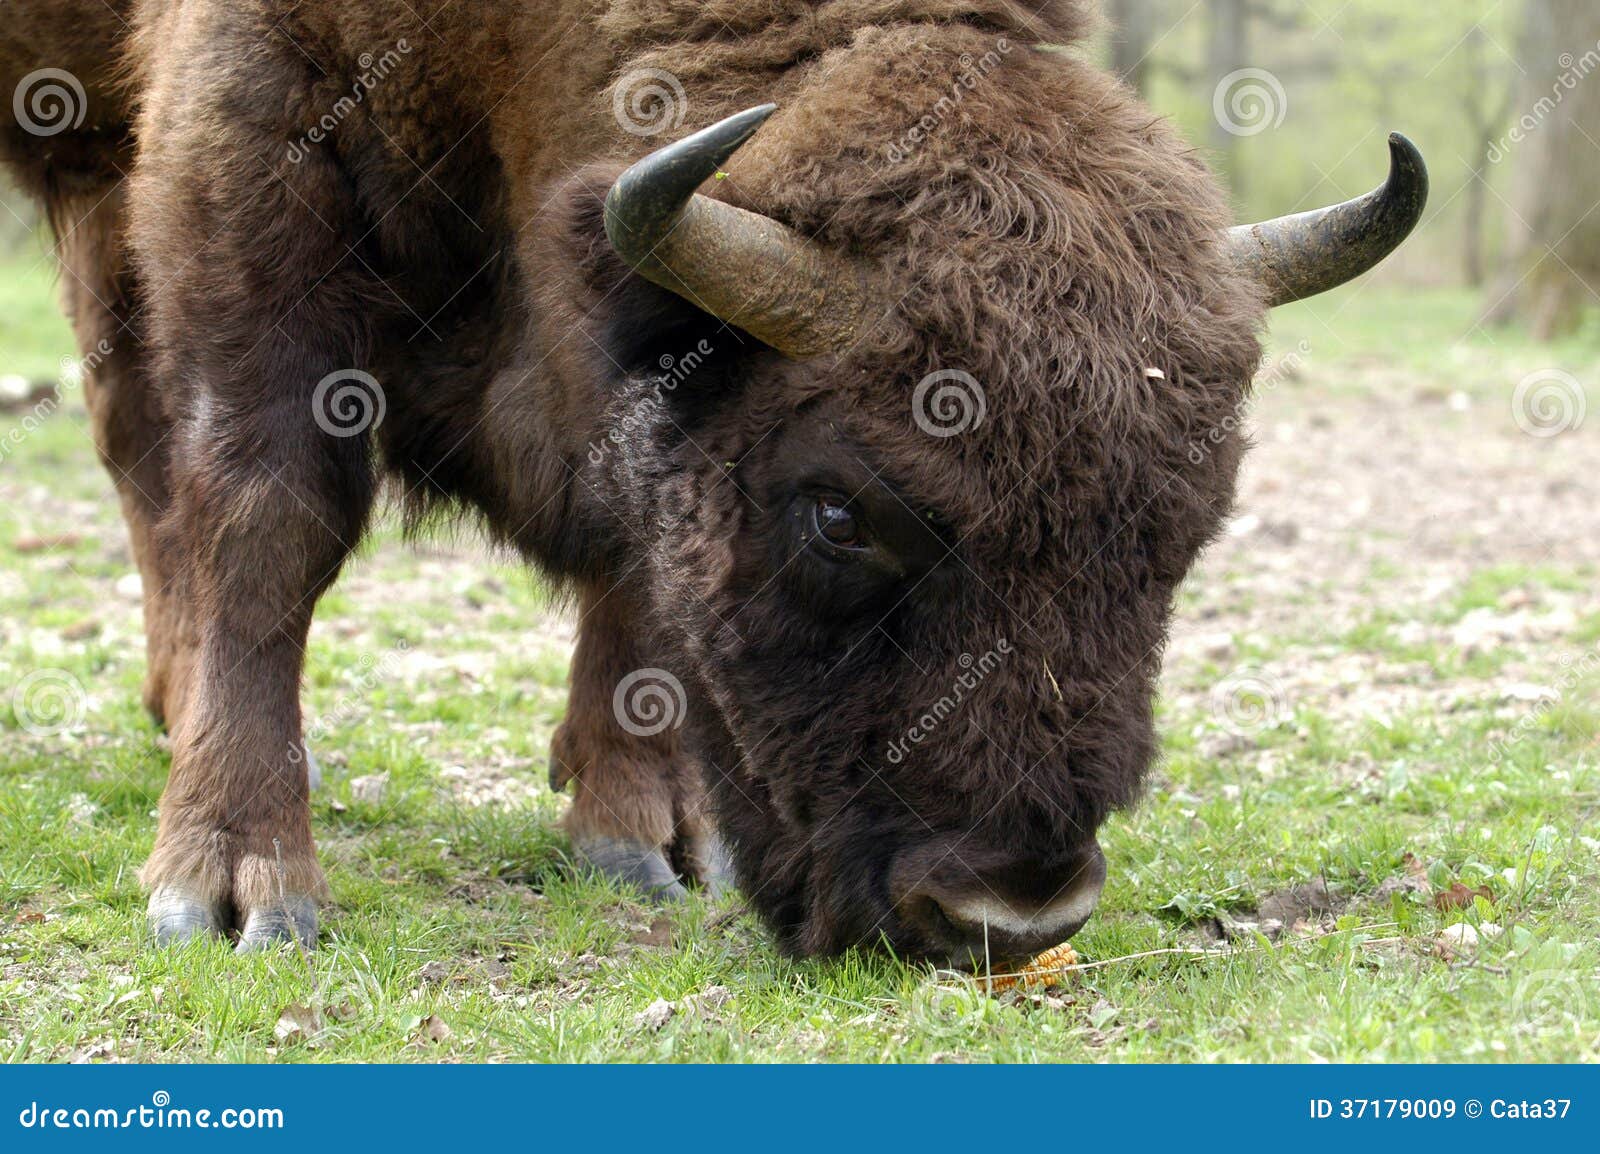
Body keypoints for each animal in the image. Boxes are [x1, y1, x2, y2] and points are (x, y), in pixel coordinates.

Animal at [1, 0, 1424, 963]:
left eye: (1188, 527)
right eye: (839, 511)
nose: (1010, 913)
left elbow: (634, 555)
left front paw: (636, 835)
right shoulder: (254, 137)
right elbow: (270, 512)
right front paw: (236, 885)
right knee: (144, 440)